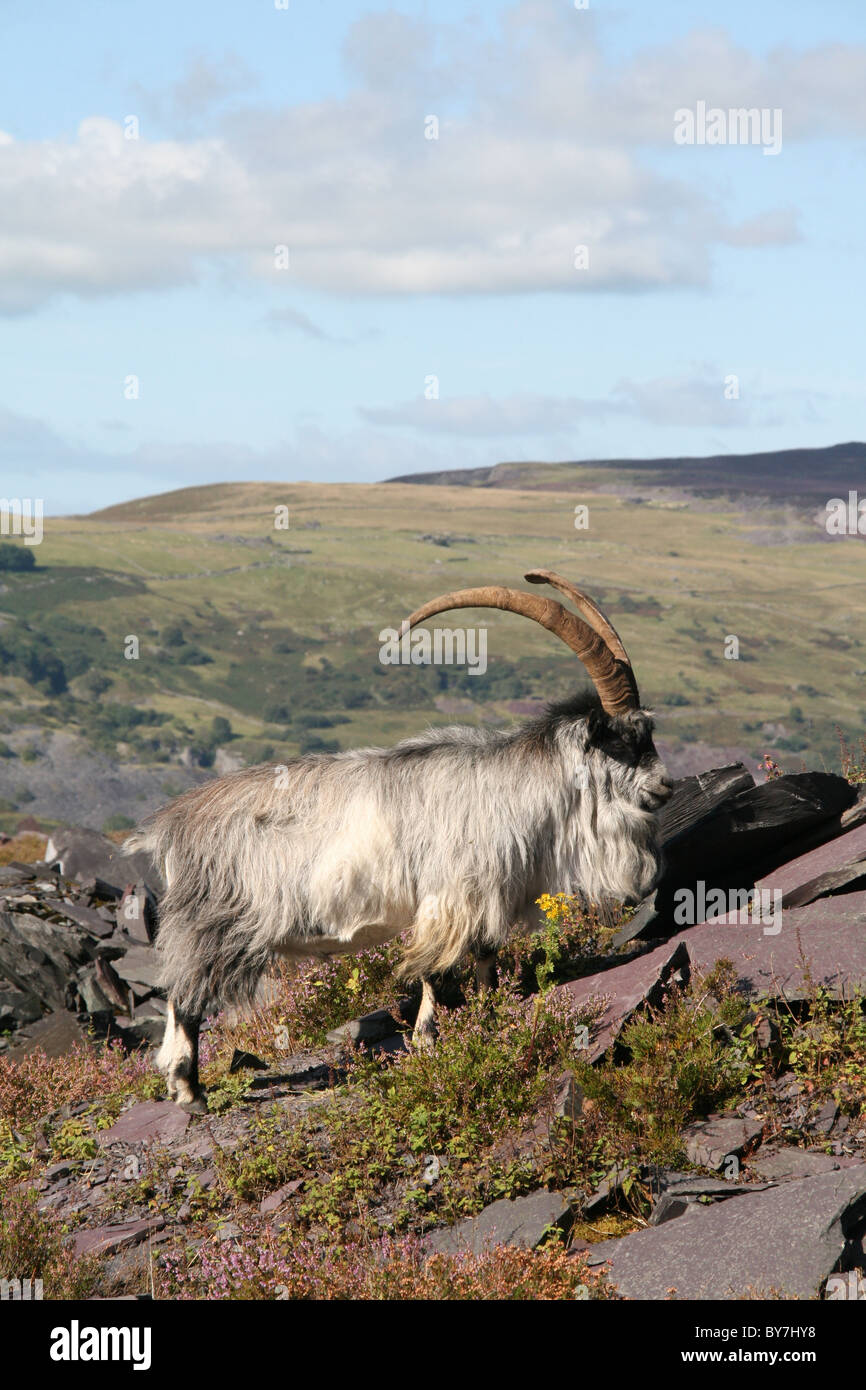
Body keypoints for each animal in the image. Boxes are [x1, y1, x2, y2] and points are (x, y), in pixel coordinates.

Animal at [126, 569, 673, 1110]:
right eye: (624, 741)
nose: (665, 786)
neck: (511, 789)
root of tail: (168, 827)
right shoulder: (447, 896)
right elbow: (434, 969)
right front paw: (429, 1042)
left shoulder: (484, 901)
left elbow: (484, 959)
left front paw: (487, 1016)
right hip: (213, 924)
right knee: (185, 996)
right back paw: (190, 1090)